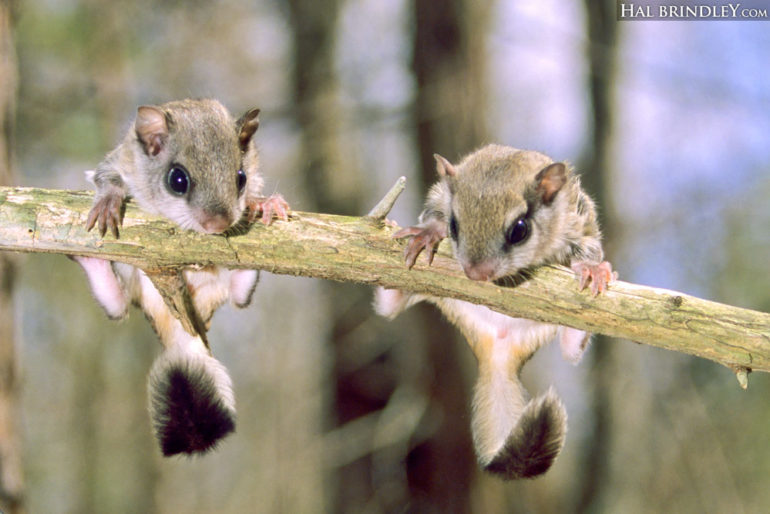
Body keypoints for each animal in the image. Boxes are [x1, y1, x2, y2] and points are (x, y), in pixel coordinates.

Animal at [72, 99, 289, 456]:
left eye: (241, 178)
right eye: (178, 179)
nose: (218, 225)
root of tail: (181, 337)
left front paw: (264, 201)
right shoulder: (118, 160)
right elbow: (106, 177)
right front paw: (108, 201)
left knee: (240, 297)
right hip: (131, 276)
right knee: (117, 306)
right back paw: (91, 260)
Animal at [375, 144, 615, 479]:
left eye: (519, 230)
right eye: (454, 225)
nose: (476, 274)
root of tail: (498, 348)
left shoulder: (579, 216)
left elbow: (588, 246)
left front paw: (592, 267)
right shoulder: (439, 195)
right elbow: (433, 212)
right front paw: (428, 232)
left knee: (571, 350)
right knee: (389, 308)